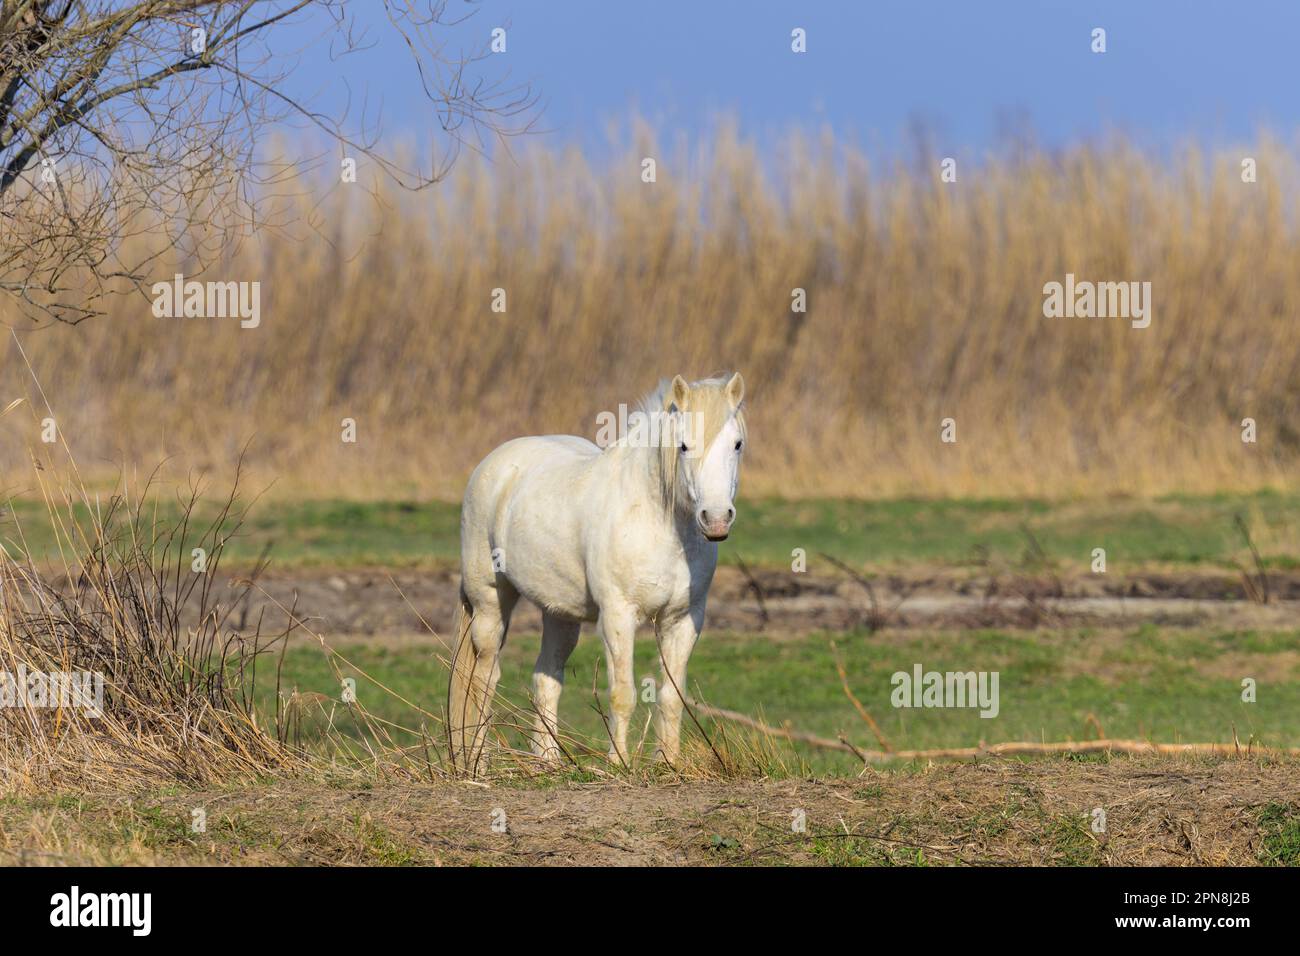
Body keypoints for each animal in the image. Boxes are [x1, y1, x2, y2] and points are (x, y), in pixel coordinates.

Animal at [447, 372, 747, 772]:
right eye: (683, 446)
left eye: (737, 444)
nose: (715, 519)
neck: (657, 521)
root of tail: (494, 464)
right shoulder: (618, 616)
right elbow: (623, 694)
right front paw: (619, 764)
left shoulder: (683, 619)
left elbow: (671, 695)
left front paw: (669, 763)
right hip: (489, 602)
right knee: (484, 678)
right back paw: (476, 762)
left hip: (559, 614)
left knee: (546, 677)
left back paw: (549, 761)